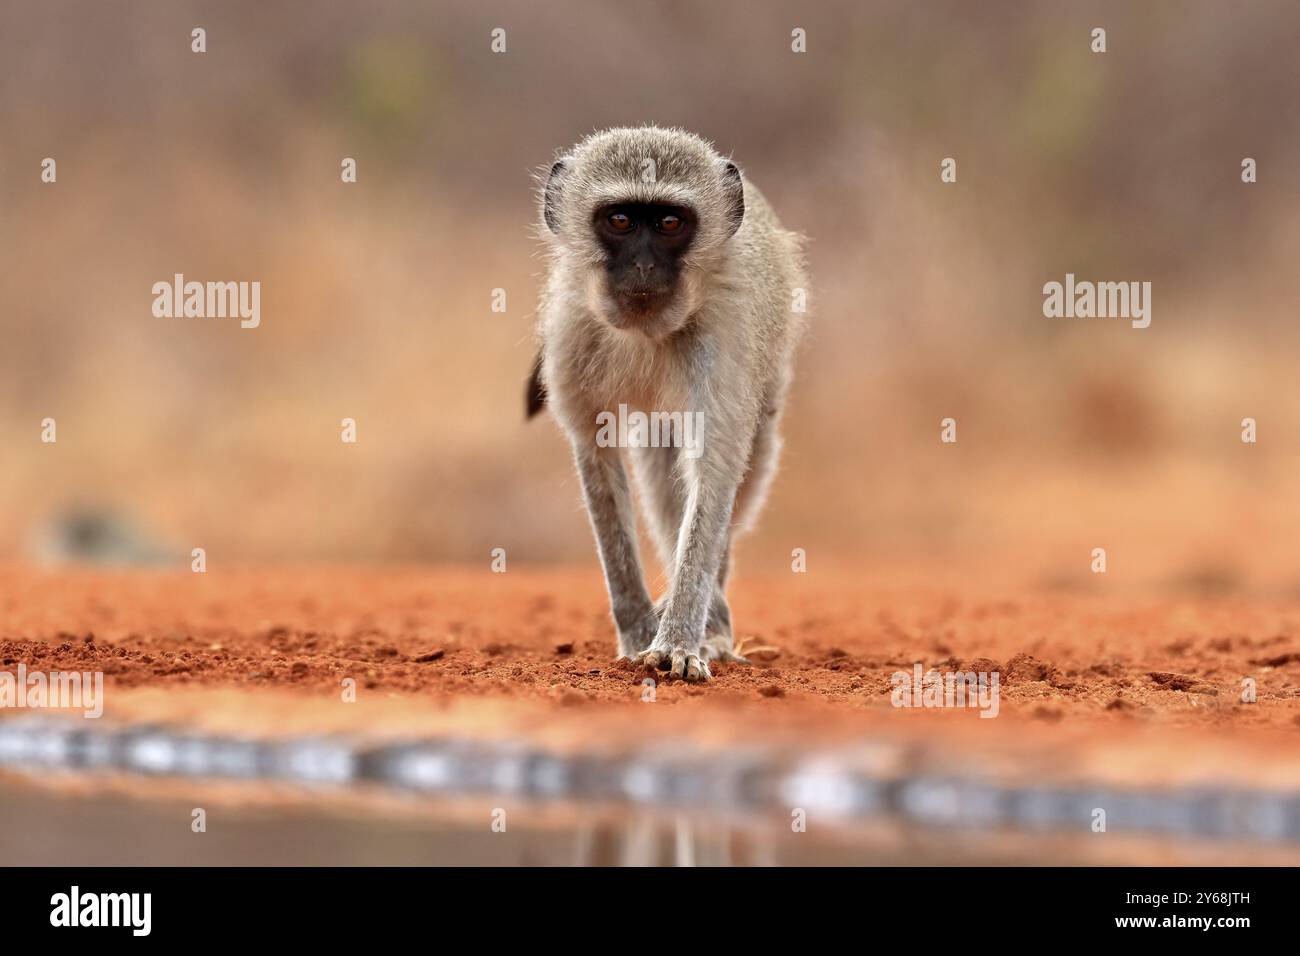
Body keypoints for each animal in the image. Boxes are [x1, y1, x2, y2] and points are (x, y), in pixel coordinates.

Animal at [527, 126, 807, 682]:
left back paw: (713, 621)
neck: (644, 330)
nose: (643, 265)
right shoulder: (573, 326)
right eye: (620, 220)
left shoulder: (723, 335)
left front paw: (679, 638)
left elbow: (715, 473)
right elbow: (596, 455)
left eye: (670, 223)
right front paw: (638, 628)